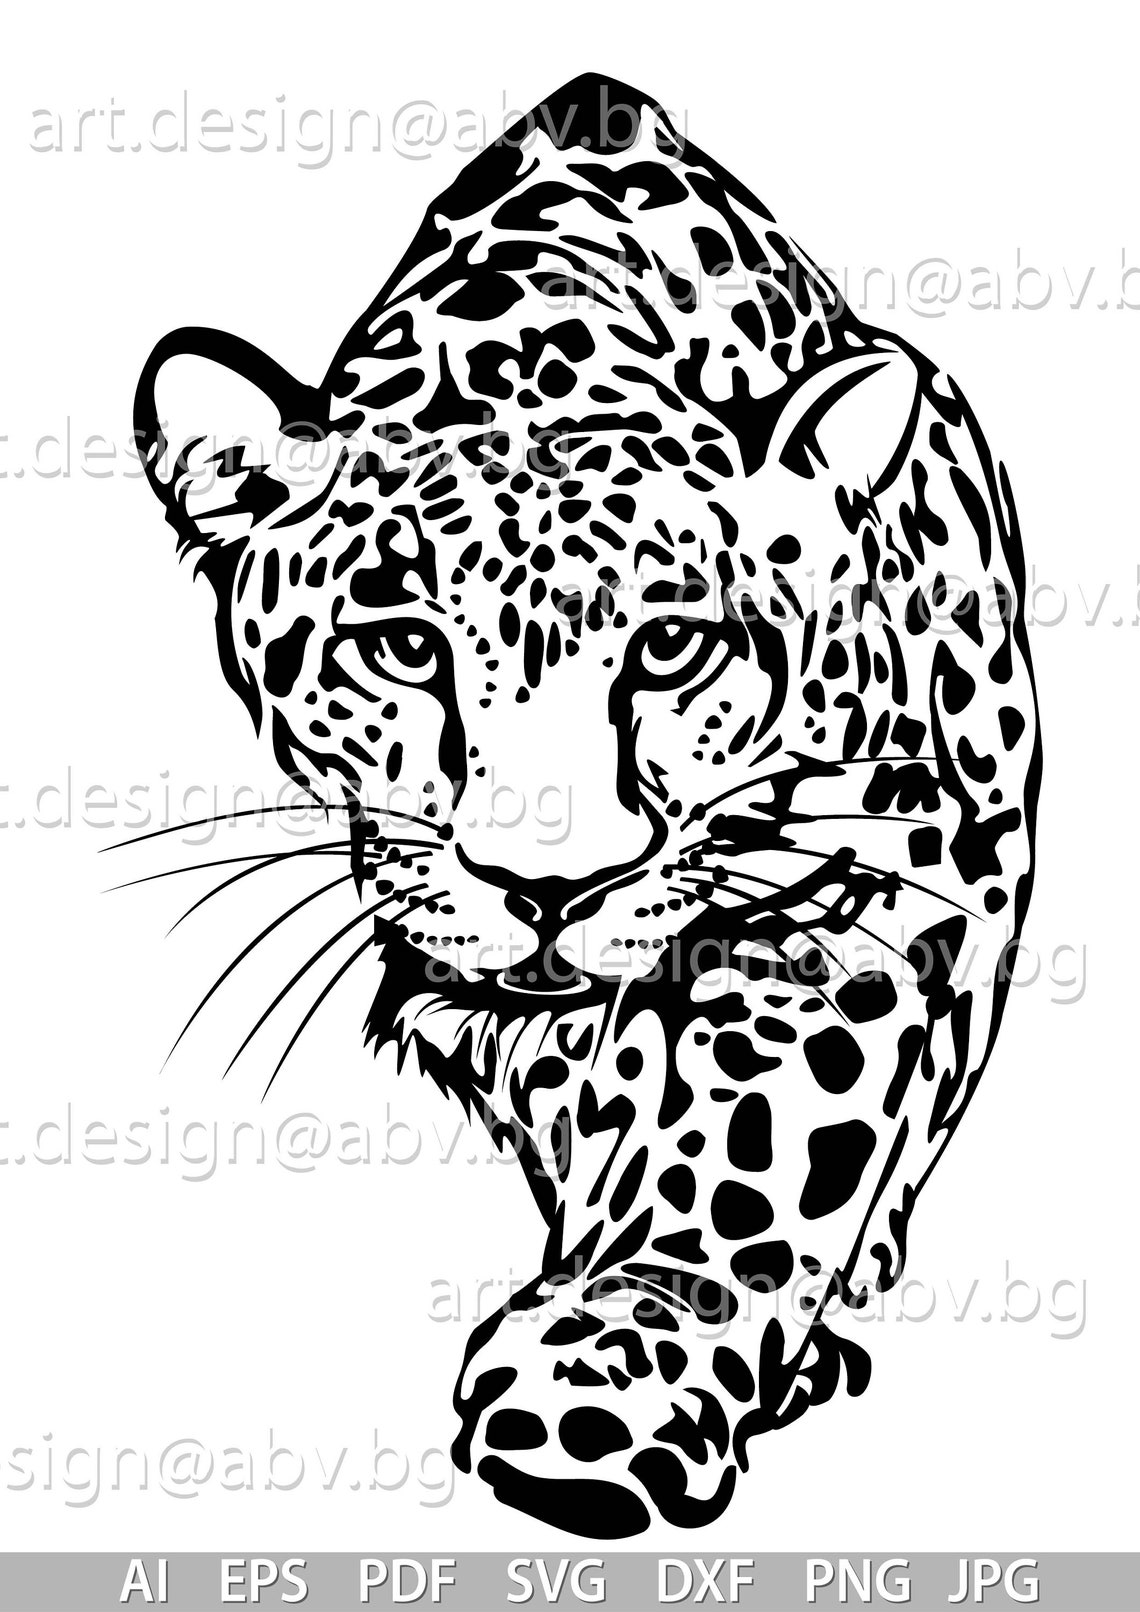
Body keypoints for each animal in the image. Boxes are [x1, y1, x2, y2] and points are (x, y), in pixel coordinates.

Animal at [133, 73, 1041, 1536]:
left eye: (672, 648)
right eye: (403, 645)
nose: (549, 888)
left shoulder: (885, 872)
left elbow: (754, 1137)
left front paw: (604, 1379)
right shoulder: (468, 978)